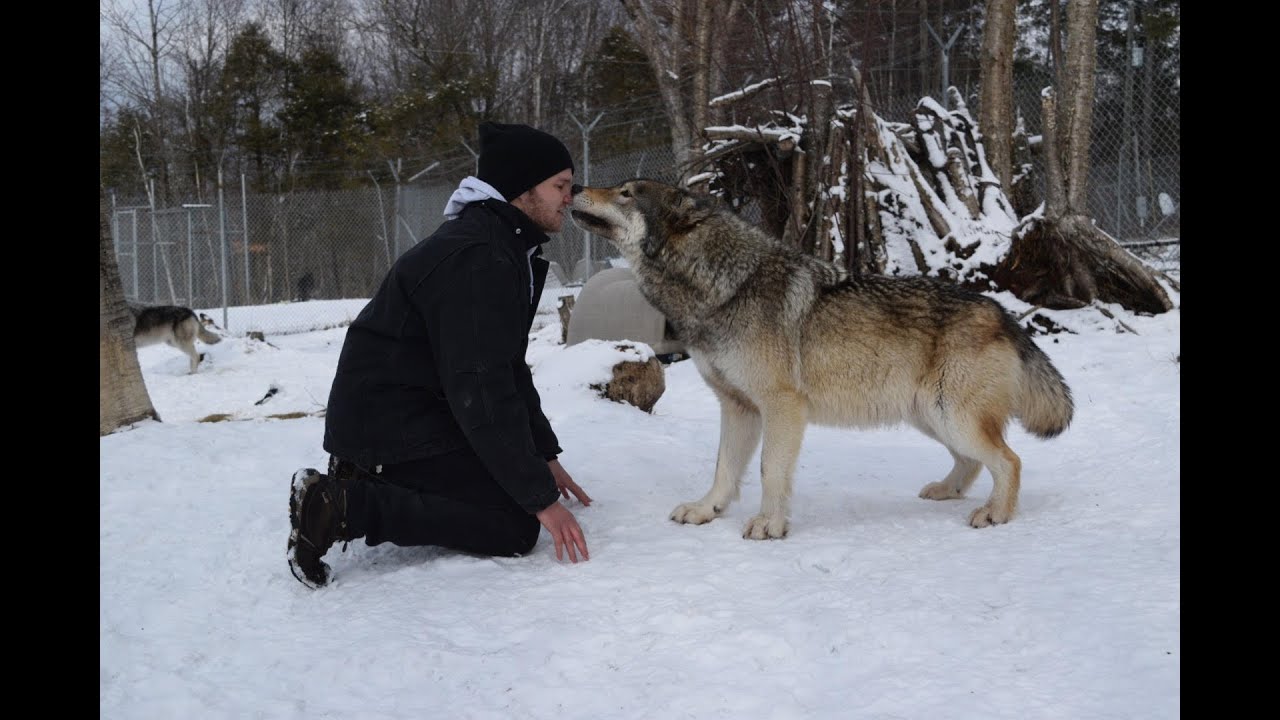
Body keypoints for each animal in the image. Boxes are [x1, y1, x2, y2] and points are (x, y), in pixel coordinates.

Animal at [569, 179, 1074, 538]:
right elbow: (724, 469)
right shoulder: (738, 407)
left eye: (626, 192)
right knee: (974, 462)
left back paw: (995, 514)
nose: (575, 186)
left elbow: (769, 470)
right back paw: (946, 492)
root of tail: (1003, 312)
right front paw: (706, 510)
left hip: (951, 416)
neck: (724, 286)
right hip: (931, 417)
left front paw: (769, 525)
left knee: (1010, 461)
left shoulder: (782, 406)